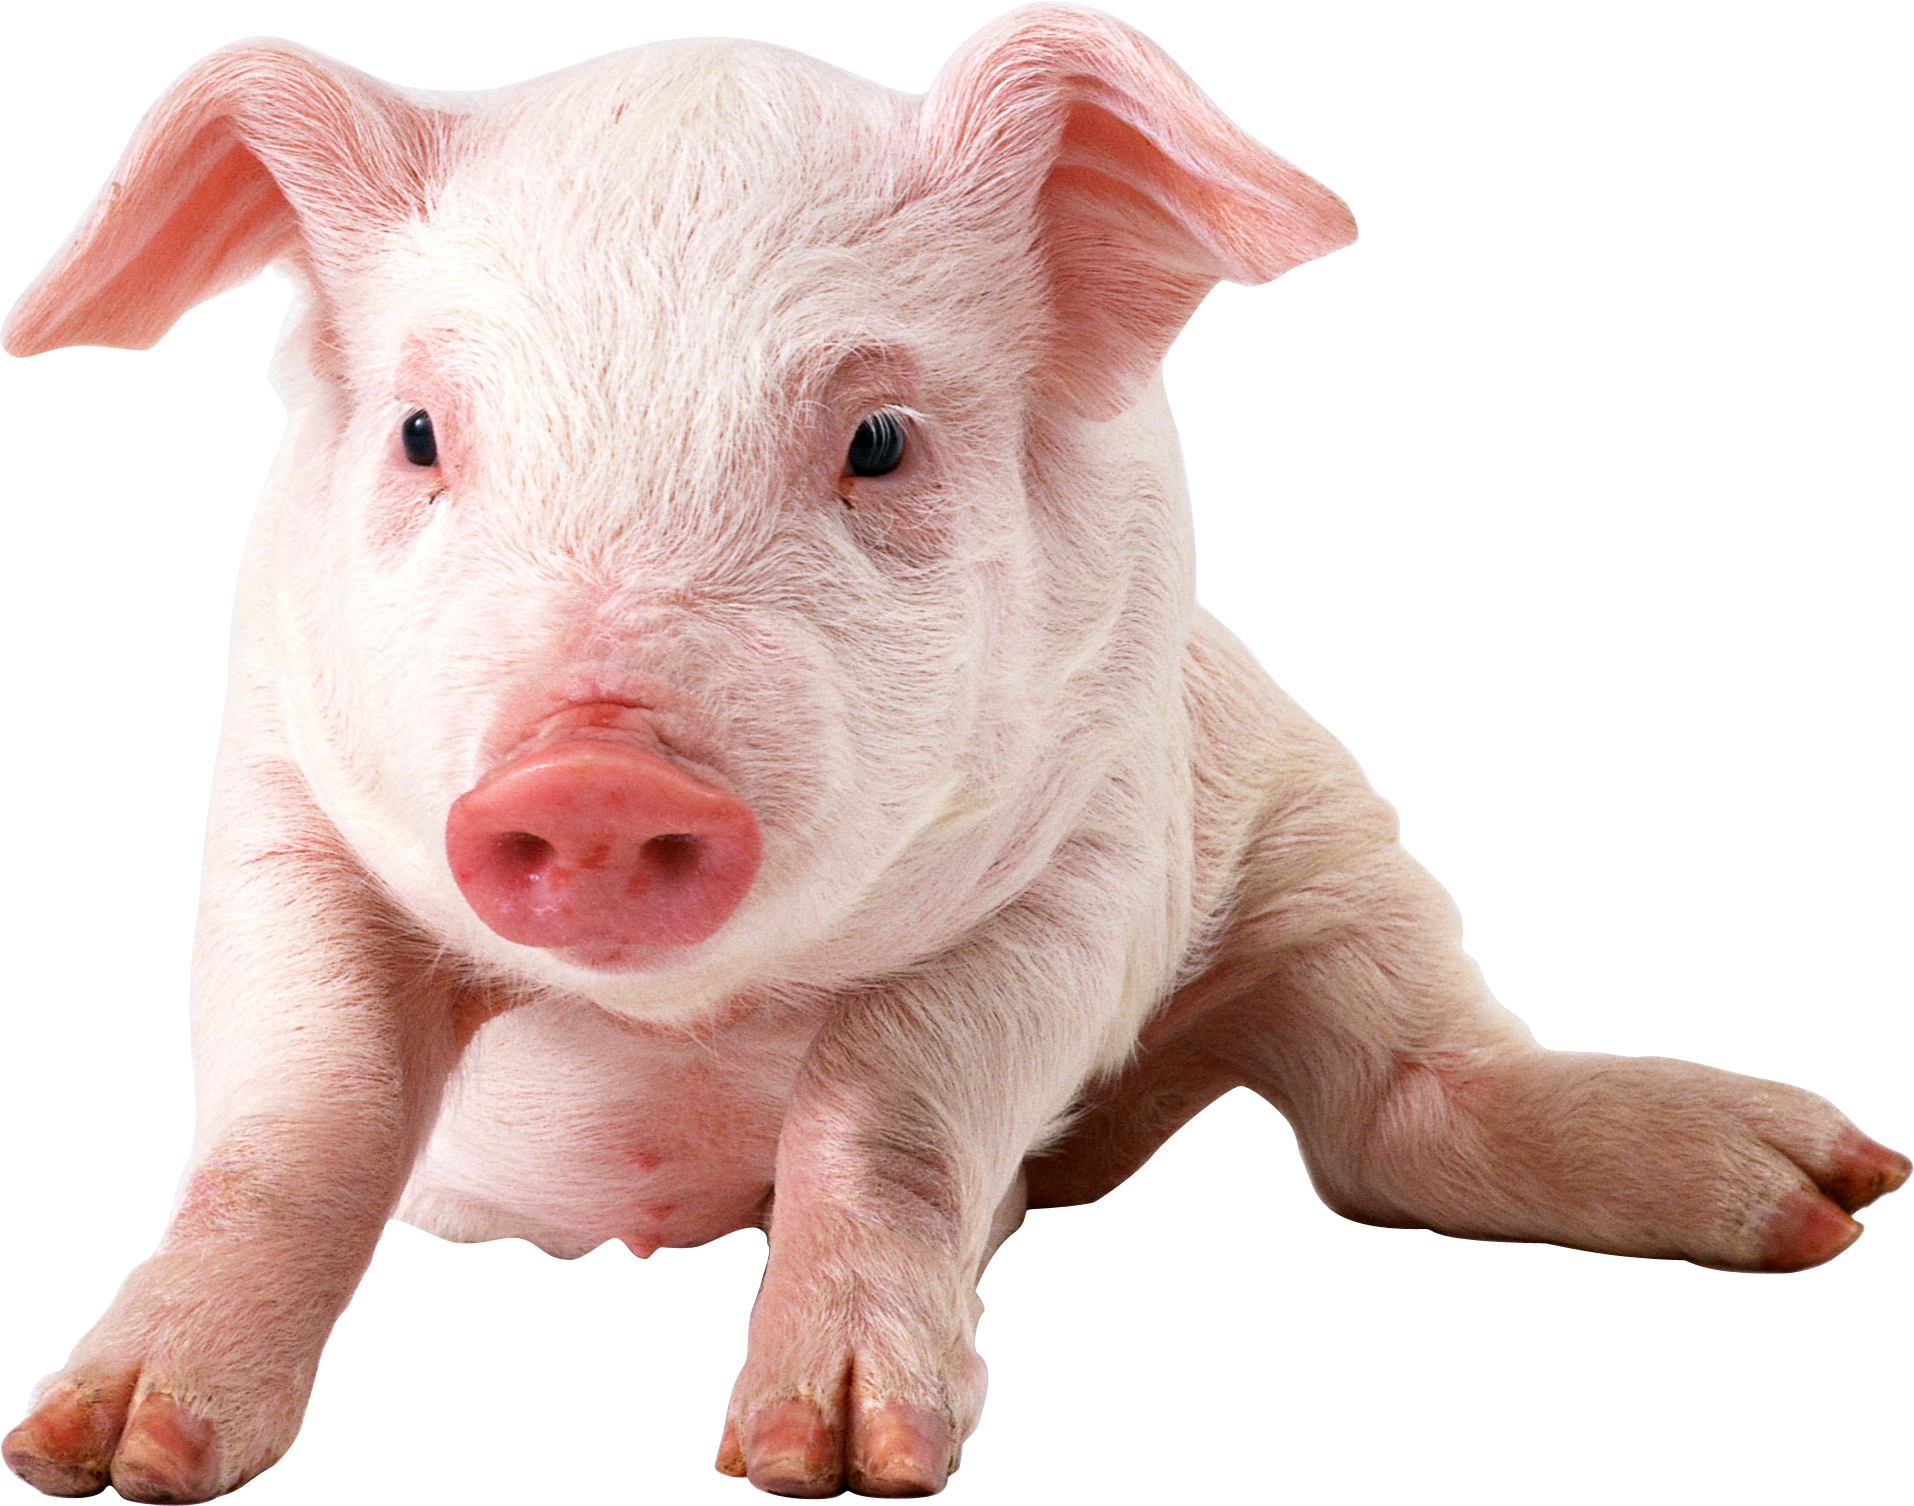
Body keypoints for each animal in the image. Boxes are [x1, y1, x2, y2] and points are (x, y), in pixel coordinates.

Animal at [3, 10, 1907, 1502]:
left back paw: (1822, 1194)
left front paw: (831, 1460)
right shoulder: (279, 807)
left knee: (1389, 1101)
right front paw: (104, 1451)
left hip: (1317, 833)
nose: (594, 776)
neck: (682, 1035)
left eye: (876, 439)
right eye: (416, 433)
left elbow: (885, 1111)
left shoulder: (1097, 847)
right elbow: (298, 1117)